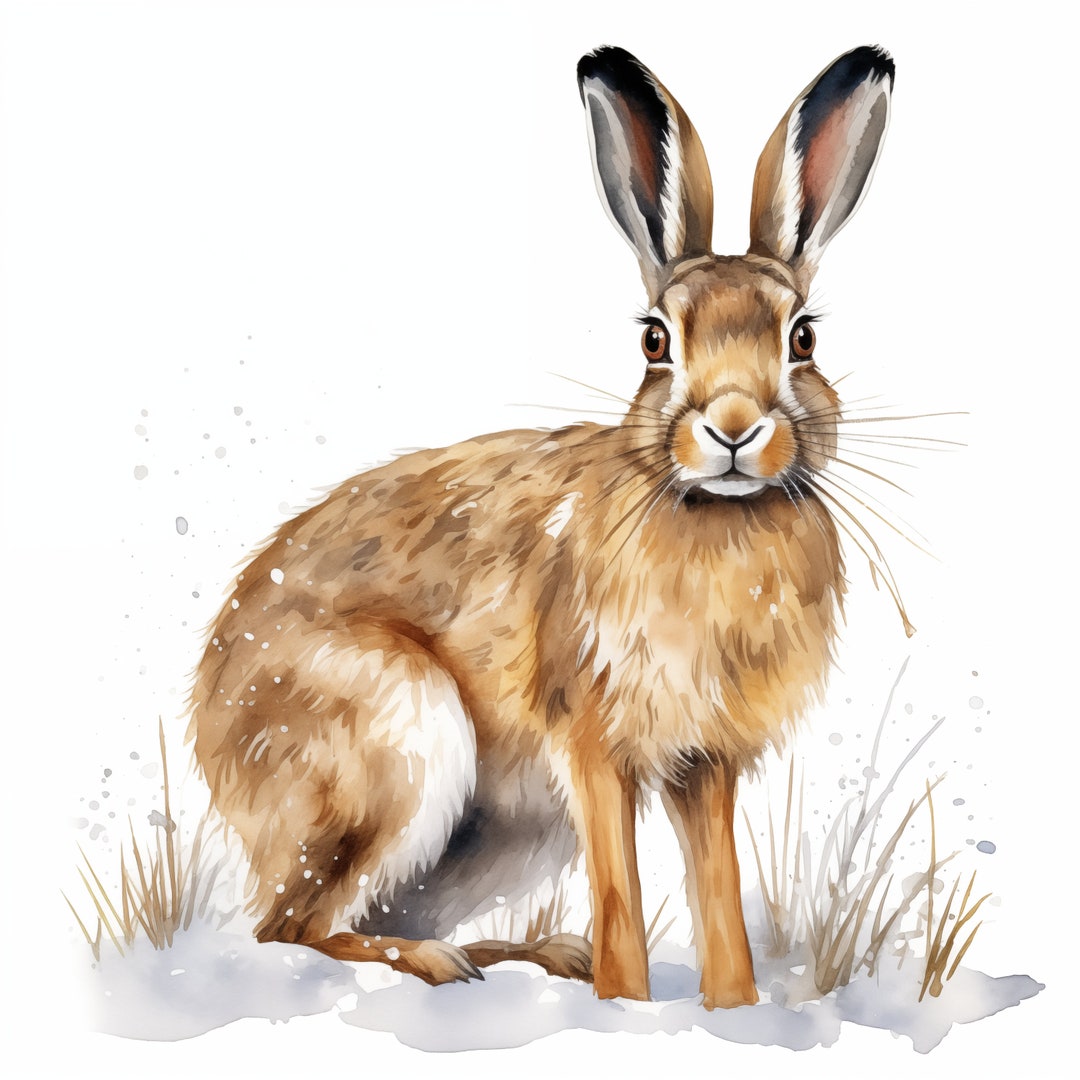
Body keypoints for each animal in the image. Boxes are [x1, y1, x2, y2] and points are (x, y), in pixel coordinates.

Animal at [189, 43, 894, 1009]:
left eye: (804, 339)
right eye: (654, 342)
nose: (734, 427)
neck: (712, 518)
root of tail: (209, 726)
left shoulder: (705, 763)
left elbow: (719, 895)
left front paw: (734, 1009)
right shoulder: (592, 743)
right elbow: (621, 894)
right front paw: (628, 1006)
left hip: (498, 837)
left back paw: (533, 955)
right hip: (398, 753)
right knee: (294, 928)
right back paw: (440, 966)